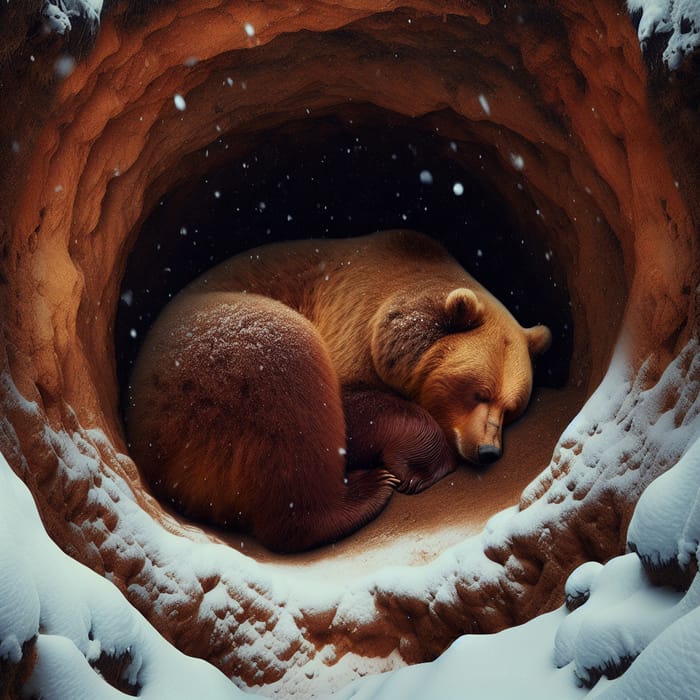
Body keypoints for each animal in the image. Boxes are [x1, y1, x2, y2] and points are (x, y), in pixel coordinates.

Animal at [126, 230, 551, 553]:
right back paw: (367, 491)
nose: (488, 450)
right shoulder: (351, 319)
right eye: (478, 393)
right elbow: (357, 409)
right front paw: (418, 467)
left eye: (513, 407)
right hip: (200, 379)